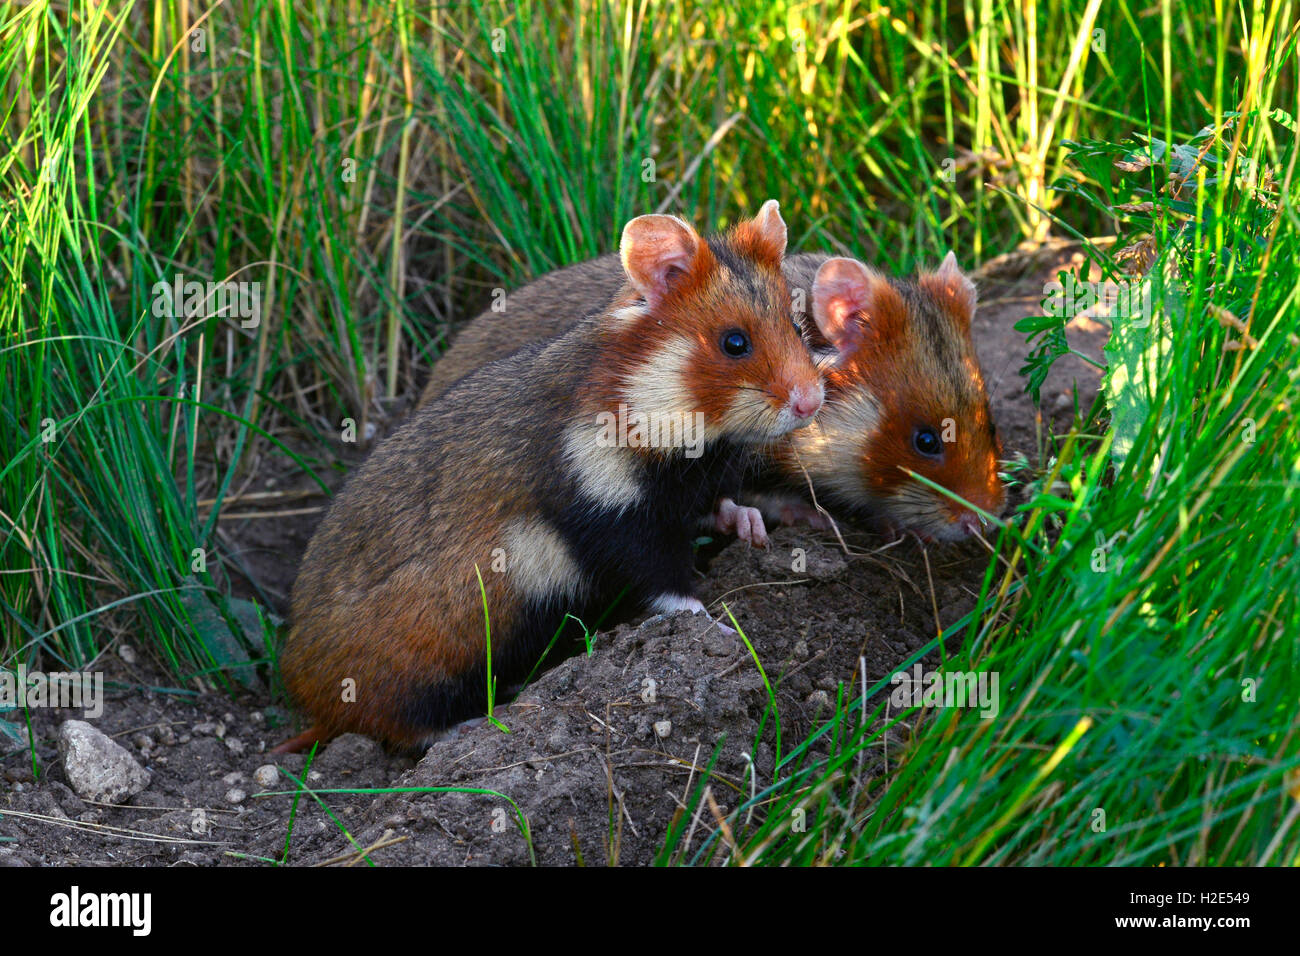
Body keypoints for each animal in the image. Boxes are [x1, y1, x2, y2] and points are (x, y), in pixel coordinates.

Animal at [276, 201, 827, 752]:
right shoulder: (611, 519)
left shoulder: (689, 487)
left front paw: (755, 527)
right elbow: (669, 588)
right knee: (398, 723)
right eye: (734, 342)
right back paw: (476, 721)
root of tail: (307, 698)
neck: (650, 407)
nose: (811, 403)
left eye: (798, 327)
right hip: (422, 663)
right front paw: (719, 630)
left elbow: (721, 506)